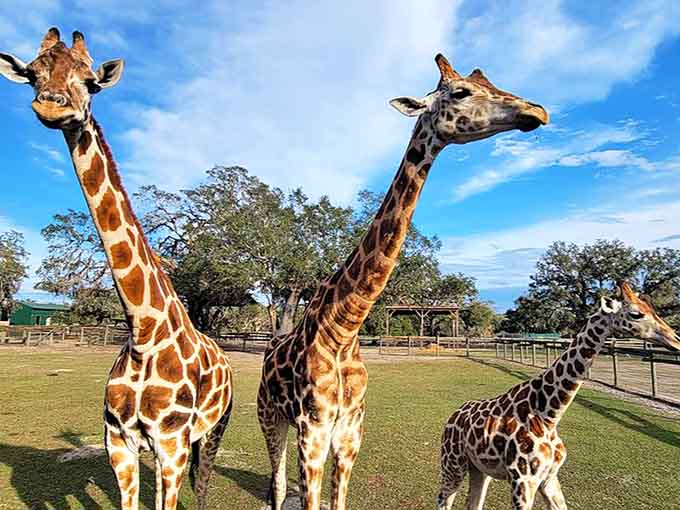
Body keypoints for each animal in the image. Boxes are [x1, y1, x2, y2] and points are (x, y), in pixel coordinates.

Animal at [0, 28, 233, 510]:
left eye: (90, 82)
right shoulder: (120, 442)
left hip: (213, 428)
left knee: (203, 483)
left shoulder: (172, 443)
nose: (52, 105)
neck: (143, 333)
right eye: (33, 73)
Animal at [257, 53, 549, 510]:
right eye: (460, 92)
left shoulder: (350, 433)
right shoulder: (314, 429)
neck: (344, 328)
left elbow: (338, 500)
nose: (537, 111)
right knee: (278, 477)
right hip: (270, 416)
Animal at [438, 281, 680, 510]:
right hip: (452, 462)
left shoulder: (549, 477)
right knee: (443, 499)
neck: (549, 414)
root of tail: (452, 415)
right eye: (636, 314)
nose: (675, 340)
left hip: (479, 468)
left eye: (651, 308)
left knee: (473, 501)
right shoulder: (522, 480)